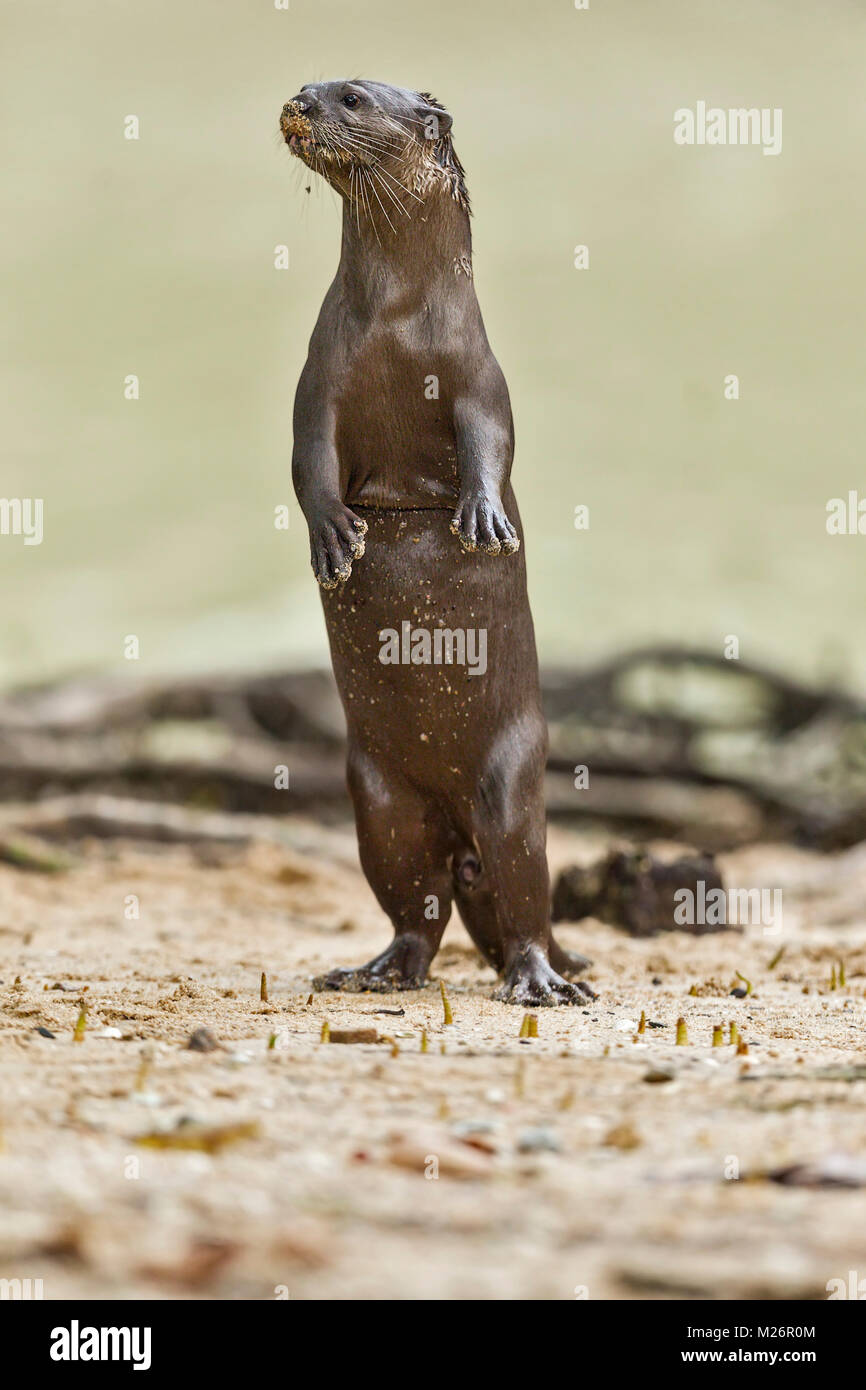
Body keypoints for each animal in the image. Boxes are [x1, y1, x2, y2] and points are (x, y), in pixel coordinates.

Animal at [281, 79, 593, 1004]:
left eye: (353, 95)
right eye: (316, 84)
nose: (301, 98)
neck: (394, 325)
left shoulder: (477, 372)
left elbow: (491, 437)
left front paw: (486, 520)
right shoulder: (318, 378)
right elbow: (308, 459)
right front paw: (334, 538)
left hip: (512, 783)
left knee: (523, 892)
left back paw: (543, 980)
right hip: (377, 798)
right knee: (416, 905)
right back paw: (375, 971)